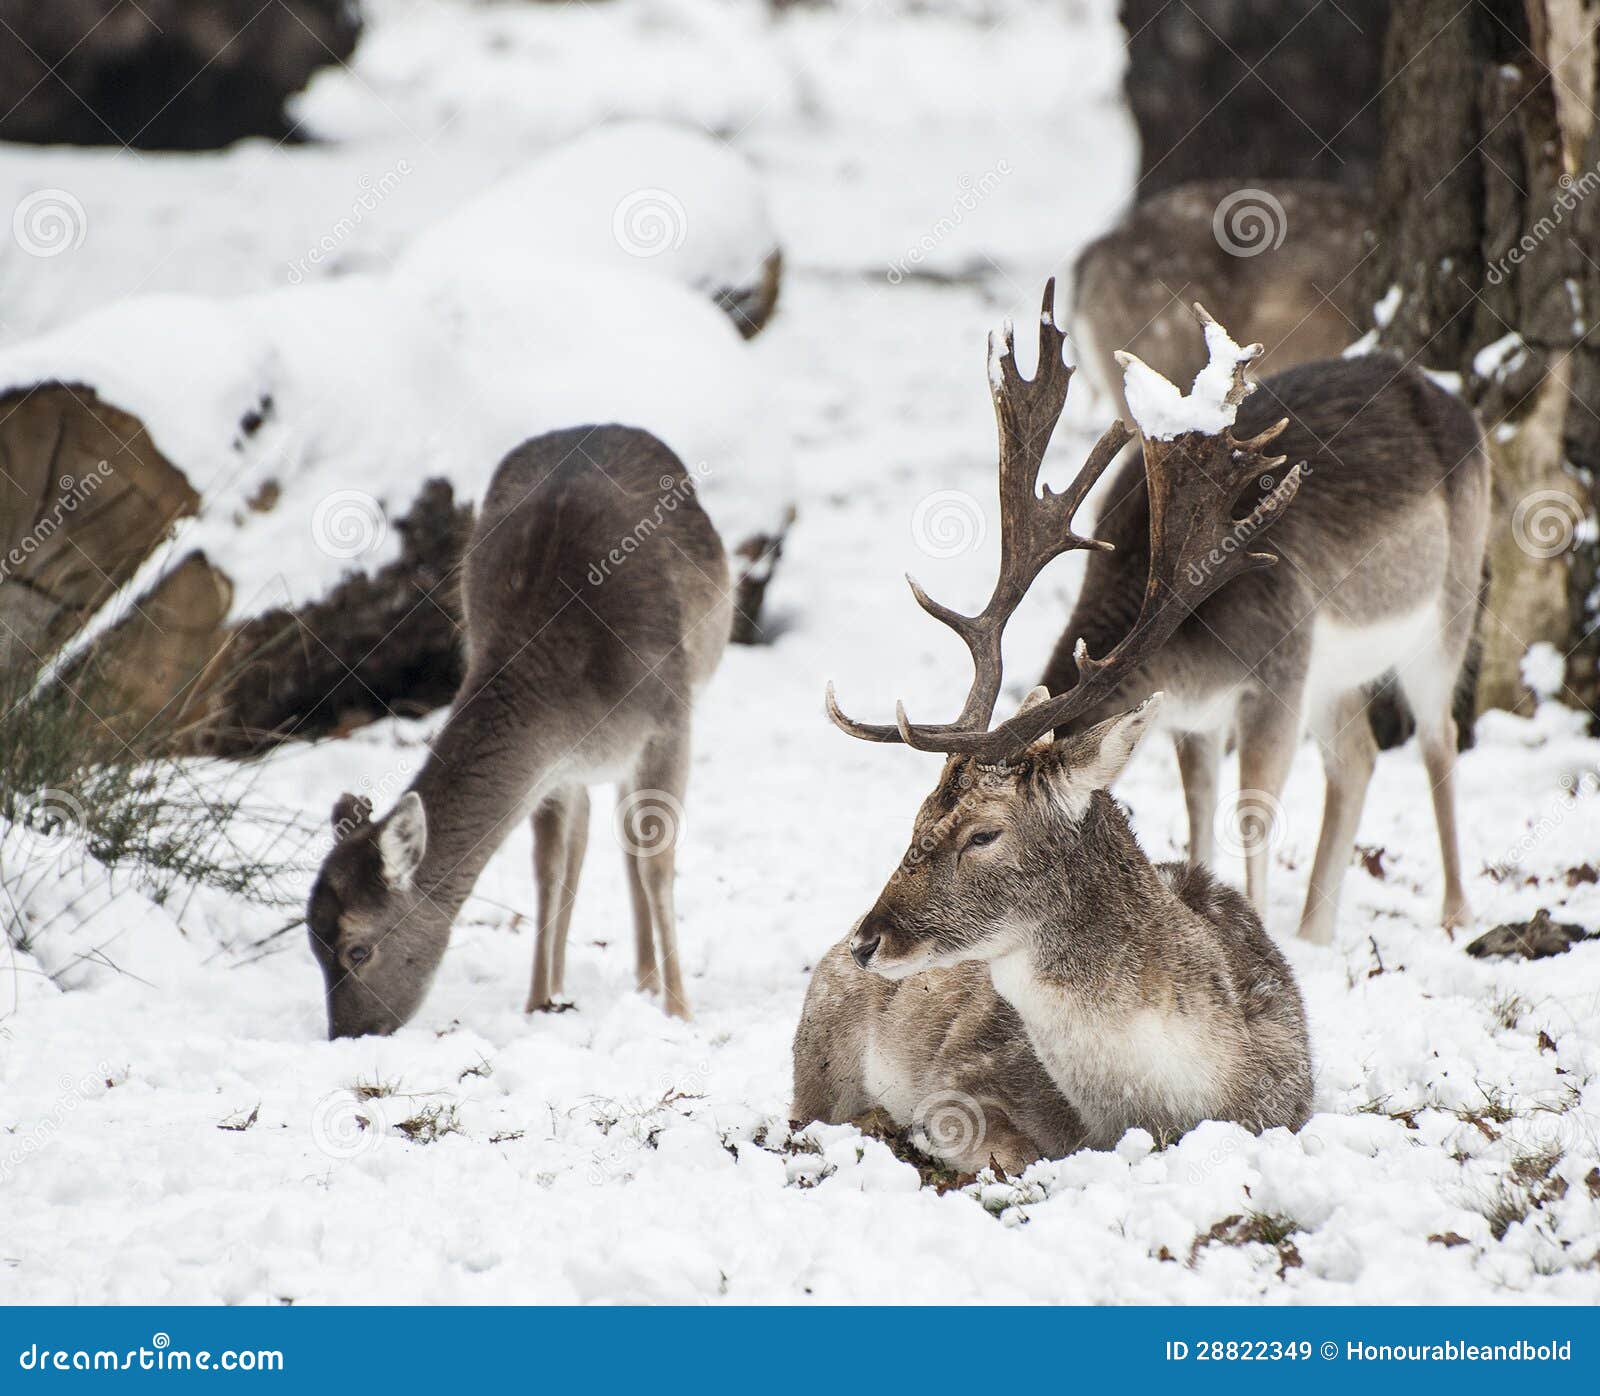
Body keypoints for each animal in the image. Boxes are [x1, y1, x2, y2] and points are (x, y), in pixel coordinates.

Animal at [306, 423, 730, 1037]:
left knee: (632, 838)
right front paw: (537, 1002)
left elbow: (657, 863)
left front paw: (680, 1013)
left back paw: (652, 982)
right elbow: (548, 869)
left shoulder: (670, 723)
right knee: (584, 842)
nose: (346, 1035)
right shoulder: (556, 768)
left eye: (357, 950)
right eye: (311, 947)